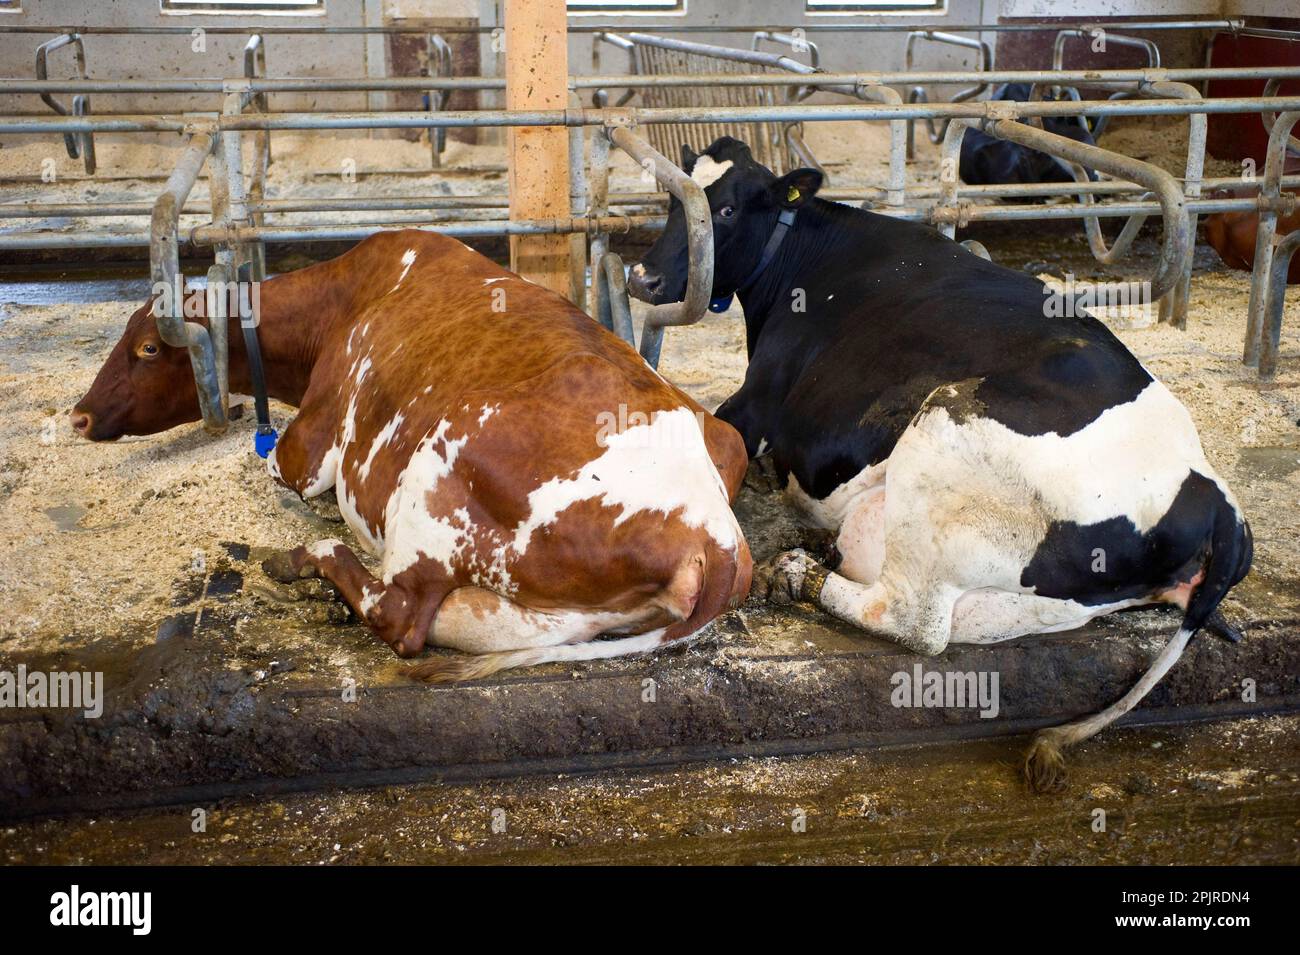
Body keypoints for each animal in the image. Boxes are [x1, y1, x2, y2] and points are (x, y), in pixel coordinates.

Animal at [72, 229, 752, 681]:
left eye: (147, 349)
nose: (78, 415)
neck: (347, 300)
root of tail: (709, 533)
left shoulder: (306, 449)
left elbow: (272, 464)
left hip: (433, 476)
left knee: (396, 614)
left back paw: (301, 560)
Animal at [628, 137, 1253, 792]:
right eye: (671, 201)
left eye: (725, 210)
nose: (642, 277)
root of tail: (1217, 504)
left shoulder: (752, 405)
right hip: (1032, 600)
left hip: (944, 428)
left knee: (915, 622)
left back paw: (796, 571)